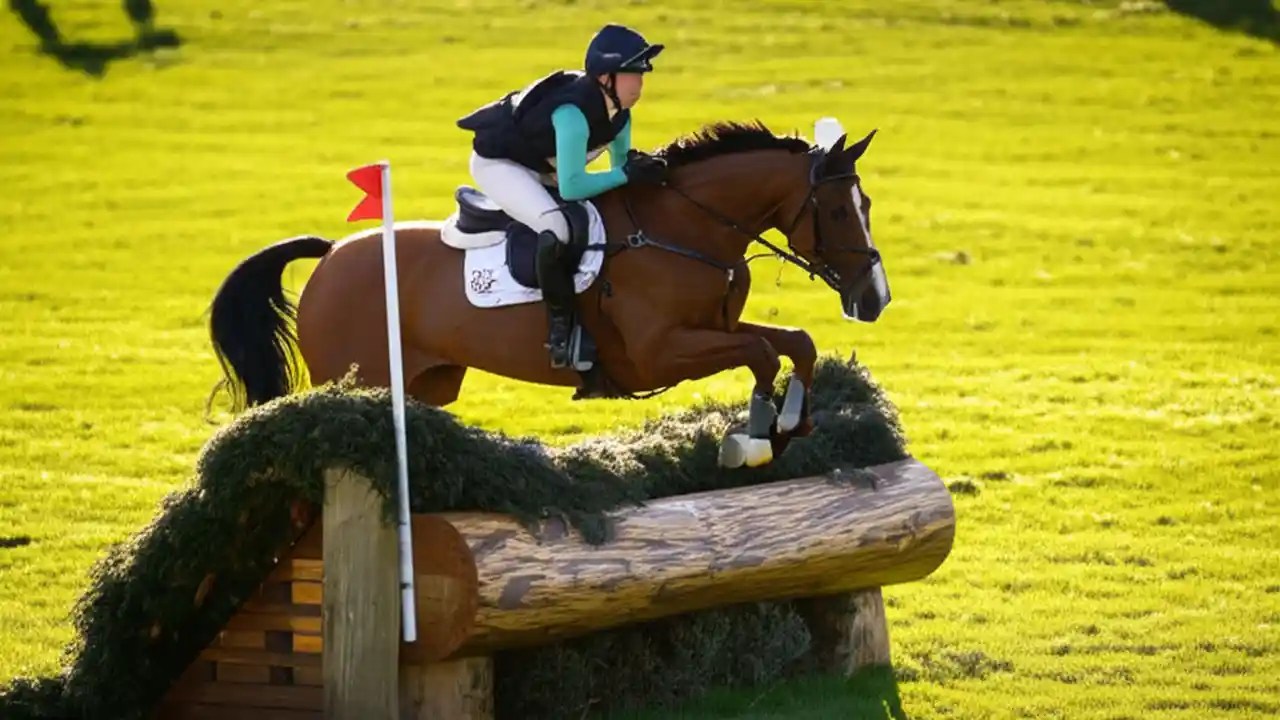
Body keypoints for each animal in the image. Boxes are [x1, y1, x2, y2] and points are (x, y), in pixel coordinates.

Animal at [207, 120, 889, 468]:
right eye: (835, 209)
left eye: (867, 204)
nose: (875, 298)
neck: (683, 228)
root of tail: (330, 255)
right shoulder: (658, 353)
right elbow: (763, 354)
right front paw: (754, 436)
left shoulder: (714, 329)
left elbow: (794, 342)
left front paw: (793, 421)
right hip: (357, 378)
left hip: (426, 382)